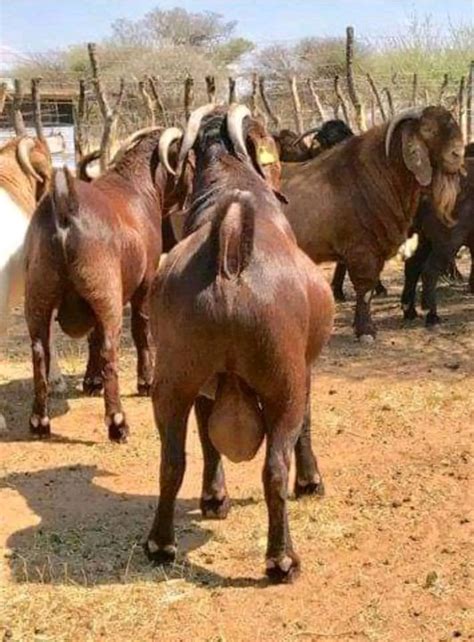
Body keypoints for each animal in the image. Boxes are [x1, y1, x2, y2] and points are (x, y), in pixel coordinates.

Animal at [24, 127, 181, 442]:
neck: (137, 185)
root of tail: (65, 203)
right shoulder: (144, 285)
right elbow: (140, 331)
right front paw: (146, 382)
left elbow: (92, 337)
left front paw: (91, 381)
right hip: (107, 297)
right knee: (110, 347)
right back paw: (117, 422)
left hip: (38, 298)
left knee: (39, 351)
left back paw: (40, 421)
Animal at [145, 104, 334, 583]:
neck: (231, 183)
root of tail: (230, 247)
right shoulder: (305, 370)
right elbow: (306, 425)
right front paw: (311, 482)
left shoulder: (204, 388)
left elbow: (207, 441)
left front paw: (214, 498)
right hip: (284, 383)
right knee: (275, 468)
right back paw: (282, 559)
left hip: (173, 380)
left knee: (171, 459)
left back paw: (160, 543)